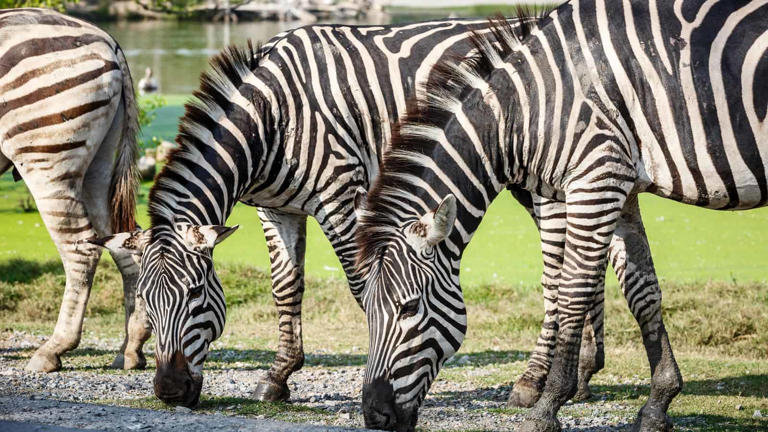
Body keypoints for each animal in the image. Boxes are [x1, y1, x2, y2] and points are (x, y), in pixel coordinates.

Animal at [0, 9, 149, 372]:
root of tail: (107, 40)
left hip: (45, 156)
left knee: (80, 249)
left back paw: (53, 350)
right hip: (99, 165)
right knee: (124, 243)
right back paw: (132, 349)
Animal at [89, 17, 618, 406]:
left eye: (196, 293)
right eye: (145, 303)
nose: (170, 391)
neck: (270, 119)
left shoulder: (343, 192)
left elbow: (363, 286)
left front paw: (379, 369)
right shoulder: (273, 209)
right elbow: (286, 288)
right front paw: (278, 376)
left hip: (540, 178)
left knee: (563, 263)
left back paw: (536, 381)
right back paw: (583, 376)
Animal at [355, 1, 767, 431]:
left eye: (408, 308)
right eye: (366, 310)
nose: (374, 415)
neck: (529, 108)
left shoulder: (596, 177)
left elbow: (573, 289)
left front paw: (548, 405)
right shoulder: (622, 186)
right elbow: (643, 292)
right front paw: (658, 403)